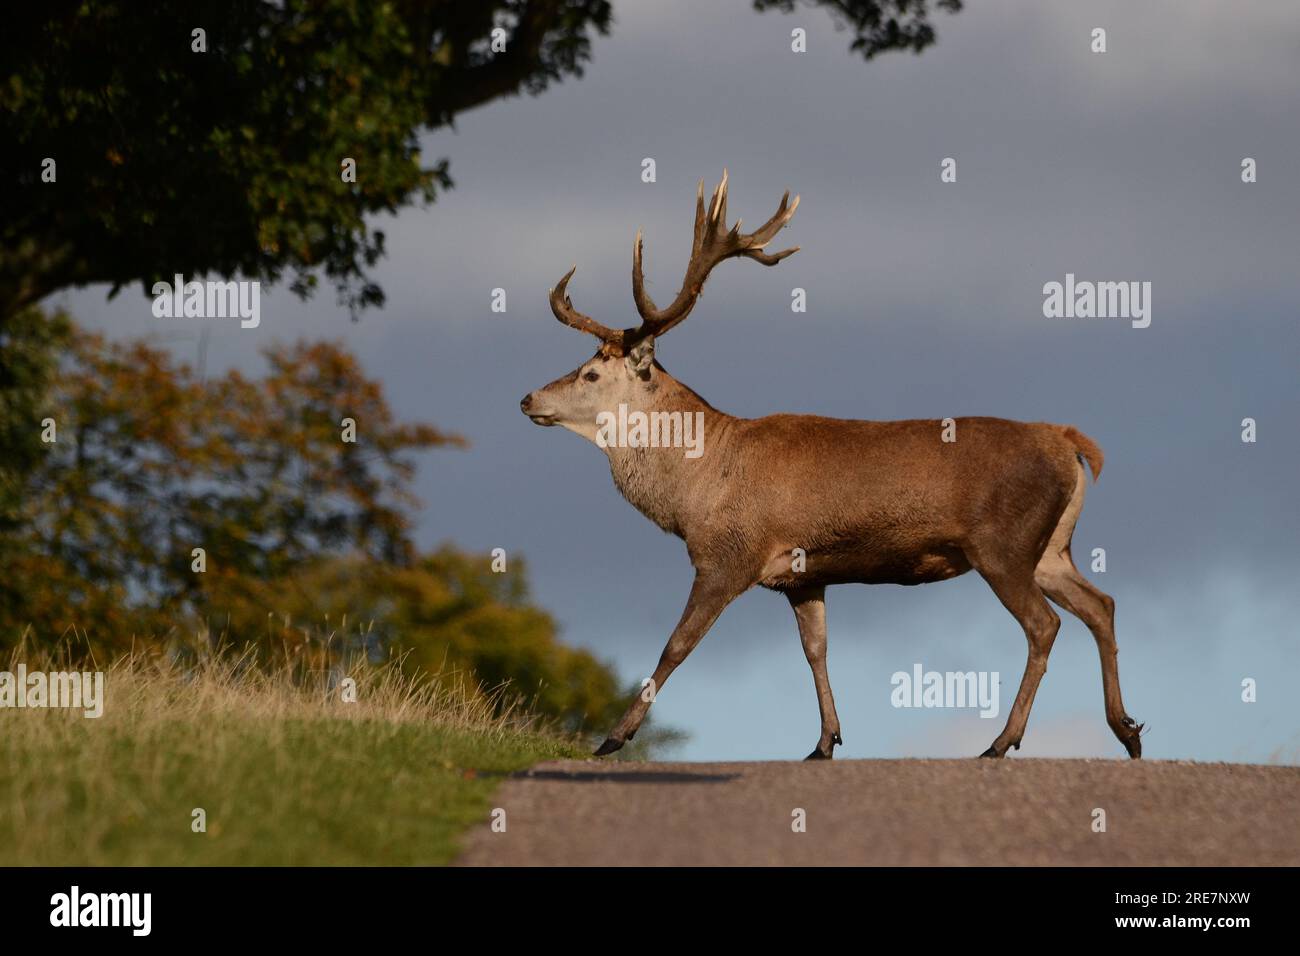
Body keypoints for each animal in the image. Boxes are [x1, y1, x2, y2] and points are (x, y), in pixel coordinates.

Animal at [520, 171, 1144, 761]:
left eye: (591, 373)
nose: (528, 398)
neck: (697, 489)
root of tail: (1068, 442)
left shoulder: (729, 555)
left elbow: (676, 646)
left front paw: (612, 738)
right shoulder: (802, 574)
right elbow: (815, 650)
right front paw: (825, 741)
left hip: (1002, 544)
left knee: (1045, 624)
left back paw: (1001, 741)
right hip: (1051, 546)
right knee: (1101, 605)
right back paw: (1127, 730)